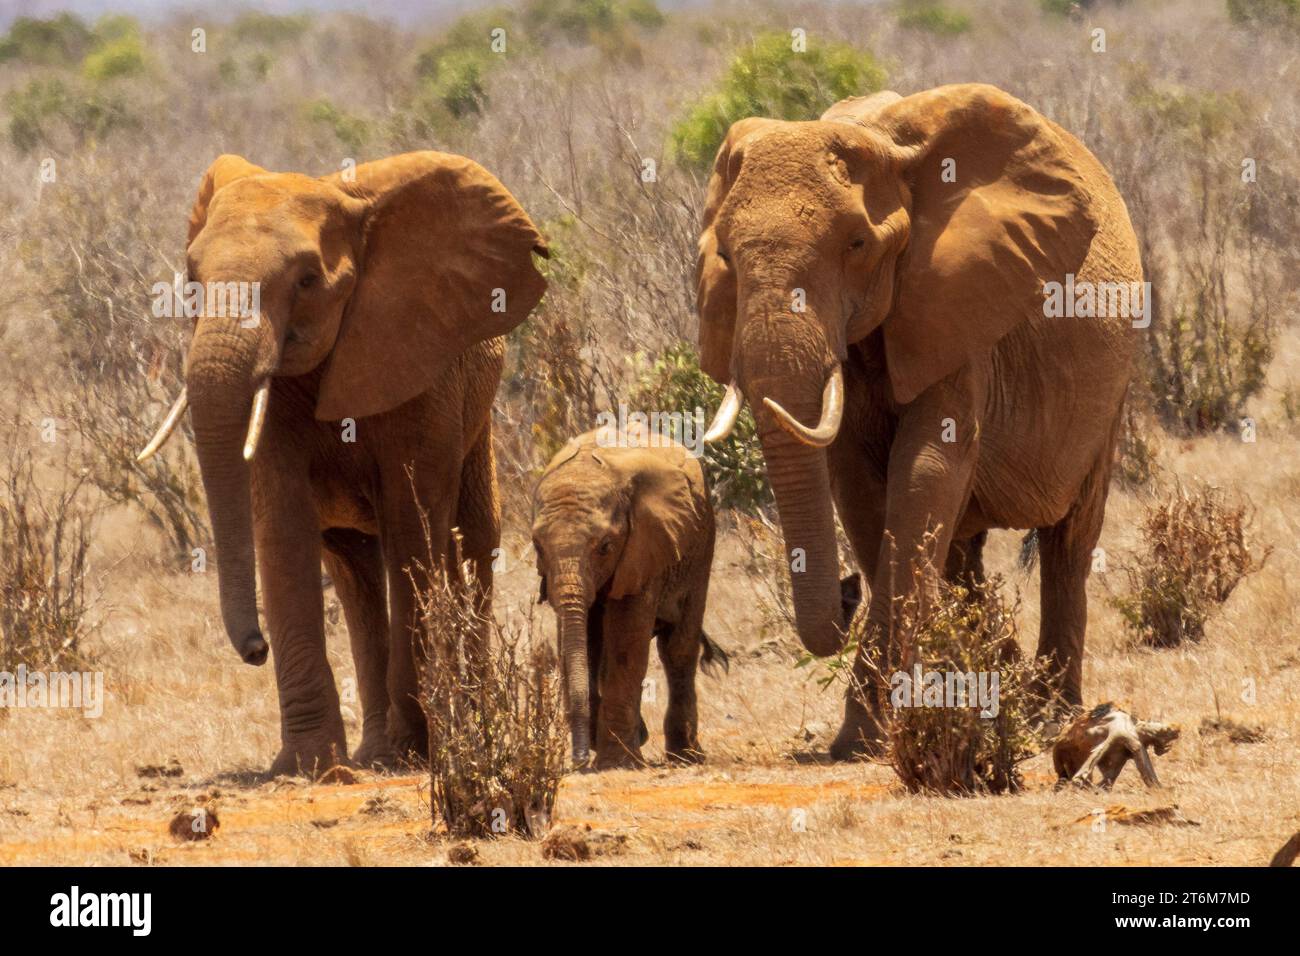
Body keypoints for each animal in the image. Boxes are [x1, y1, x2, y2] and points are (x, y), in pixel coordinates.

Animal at [138, 151, 548, 775]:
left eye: (307, 280)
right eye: (192, 280)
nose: (255, 650)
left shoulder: (420, 361)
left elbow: (412, 525)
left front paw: (414, 749)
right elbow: (282, 525)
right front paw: (309, 765)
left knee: (472, 538)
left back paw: (462, 726)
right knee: (355, 573)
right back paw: (376, 750)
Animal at [531, 427, 723, 769]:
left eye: (606, 546)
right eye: (537, 546)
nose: (579, 761)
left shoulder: (644, 547)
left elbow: (626, 641)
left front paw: (619, 762)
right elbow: (581, 642)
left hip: (701, 546)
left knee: (678, 647)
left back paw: (687, 756)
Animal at [695, 84, 1142, 759]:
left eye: (856, 244)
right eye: (724, 252)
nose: (847, 593)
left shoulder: (959, 307)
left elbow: (926, 467)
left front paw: (866, 737)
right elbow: (858, 484)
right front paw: (879, 729)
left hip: (1112, 384)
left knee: (1070, 538)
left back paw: (1047, 713)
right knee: (962, 549)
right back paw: (991, 673)